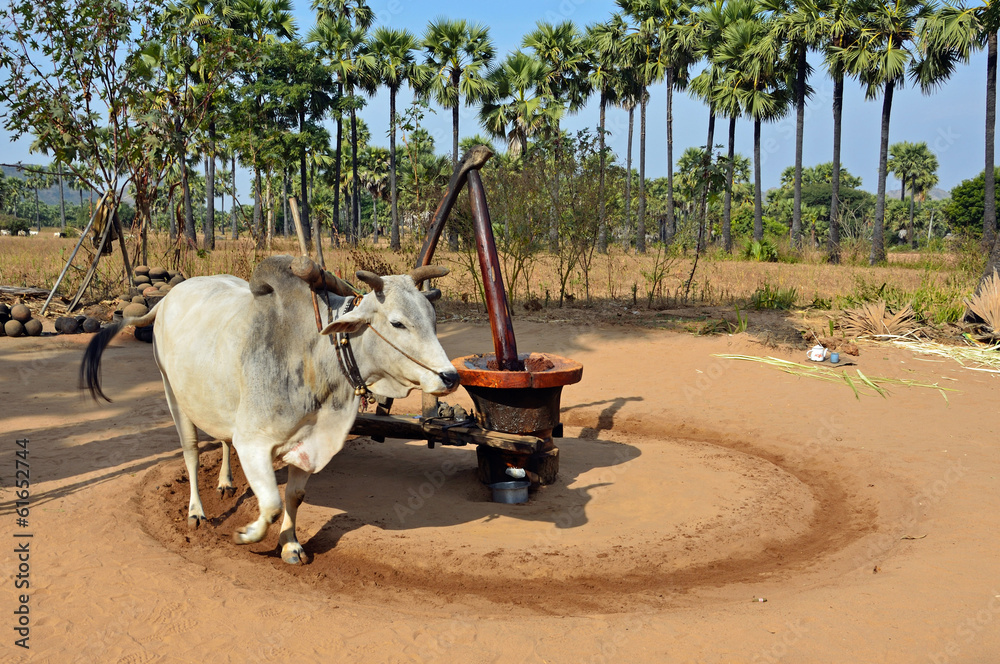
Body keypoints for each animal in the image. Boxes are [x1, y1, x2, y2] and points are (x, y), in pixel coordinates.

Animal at [81, 255, 460, 564]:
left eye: (433, 320)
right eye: (397, 323)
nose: (451, 376)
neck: (314, 352)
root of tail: (165, 300)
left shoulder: (307, 444)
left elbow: (294, 496)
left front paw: (290, 545)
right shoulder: (254, 443)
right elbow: (273, 505)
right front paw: (247, 534)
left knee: (223, 440)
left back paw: (225, 482)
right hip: (172, 393)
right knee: (190, 453)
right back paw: (196, 512)